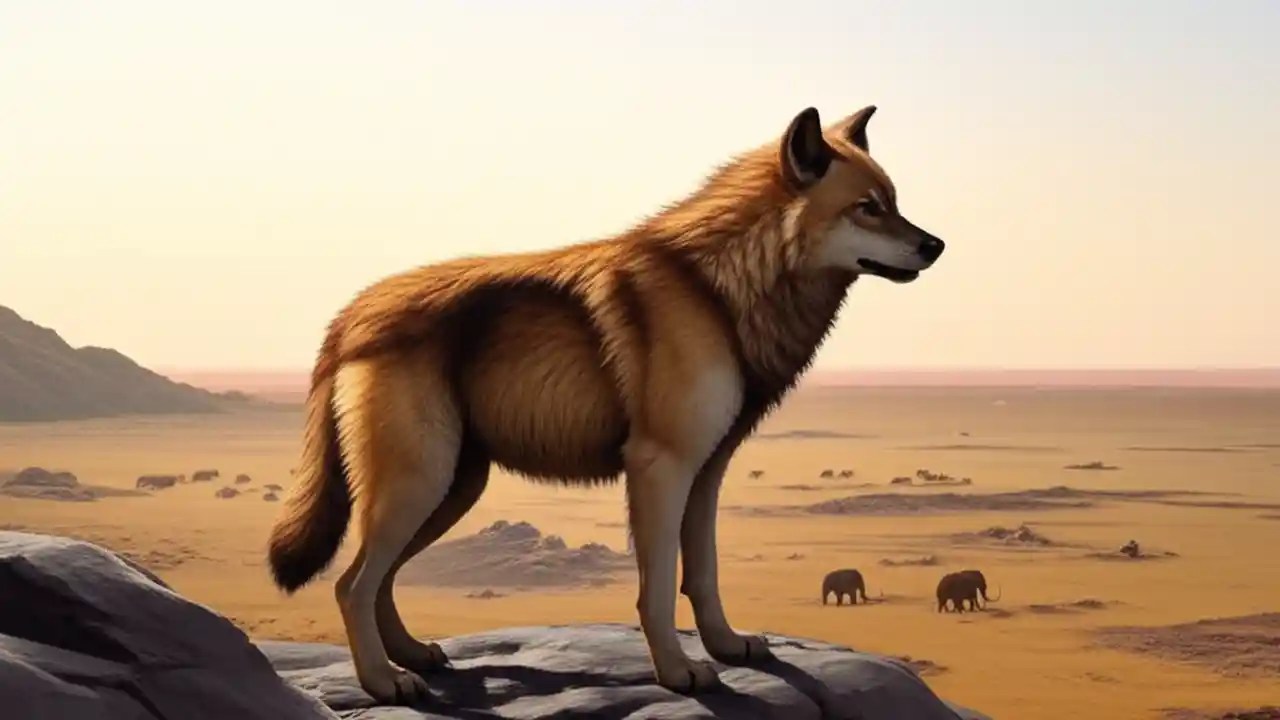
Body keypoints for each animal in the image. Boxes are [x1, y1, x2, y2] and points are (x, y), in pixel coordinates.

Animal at [267, 104, 945, 704]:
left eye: (894, 201)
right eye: (869, 208)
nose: (935, 245)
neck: (716, 291)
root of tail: (351, 313)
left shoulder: (707, 472)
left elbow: (703, 574)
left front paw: (726, 647)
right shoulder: (660, 468)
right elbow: (658, 587)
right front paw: (678, 673)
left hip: (450, 490)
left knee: (379, 580)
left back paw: (412, 658)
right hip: (421, 484)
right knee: (352, 584)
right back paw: (384, 684)